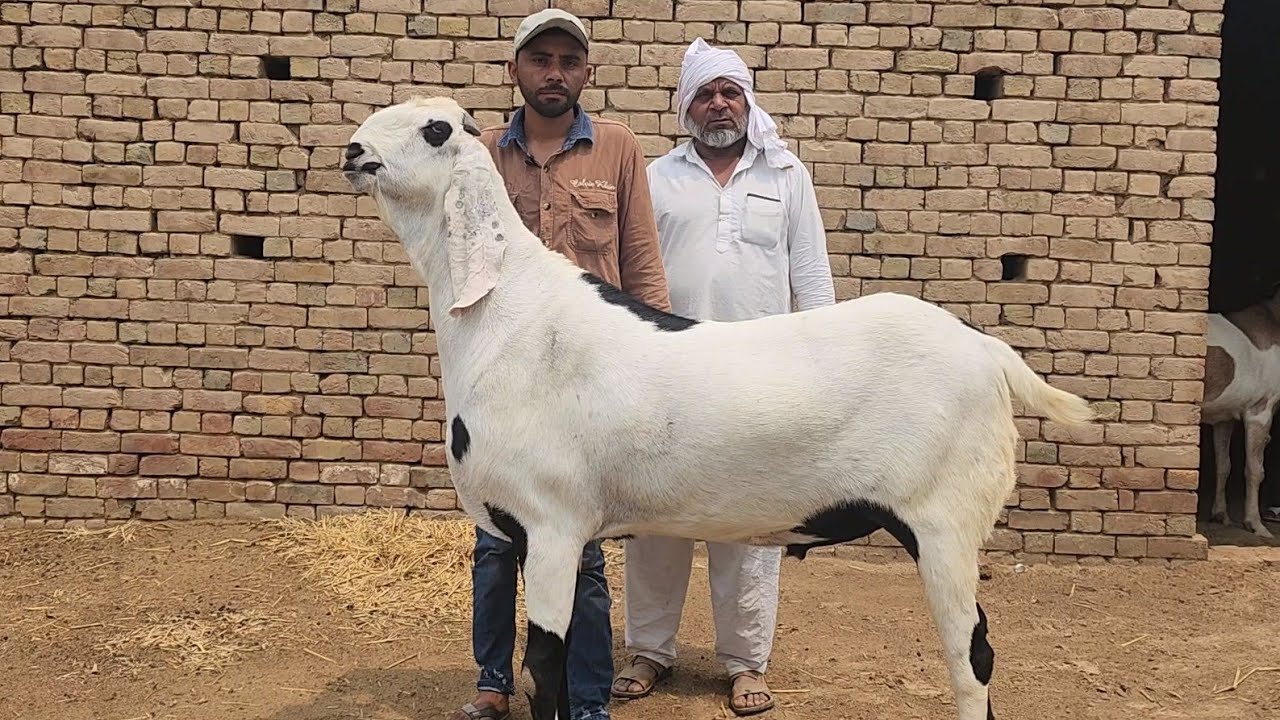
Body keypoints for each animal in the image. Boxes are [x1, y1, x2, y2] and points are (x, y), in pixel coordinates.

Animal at [341, 96, 1096, 720]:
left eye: (436, 130)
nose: (352, 150)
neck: (509, 312)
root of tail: (988, 350)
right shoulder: (540, 531)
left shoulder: (551, 522)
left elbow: (545, 670)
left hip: (946, 522)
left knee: (973, 655)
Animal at [1202, 289, 1280, 538]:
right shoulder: (1260, 412)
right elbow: (1255, 470)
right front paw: (1255, 524)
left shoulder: (1223, 418)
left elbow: (1223, 466)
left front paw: (1220, 515)